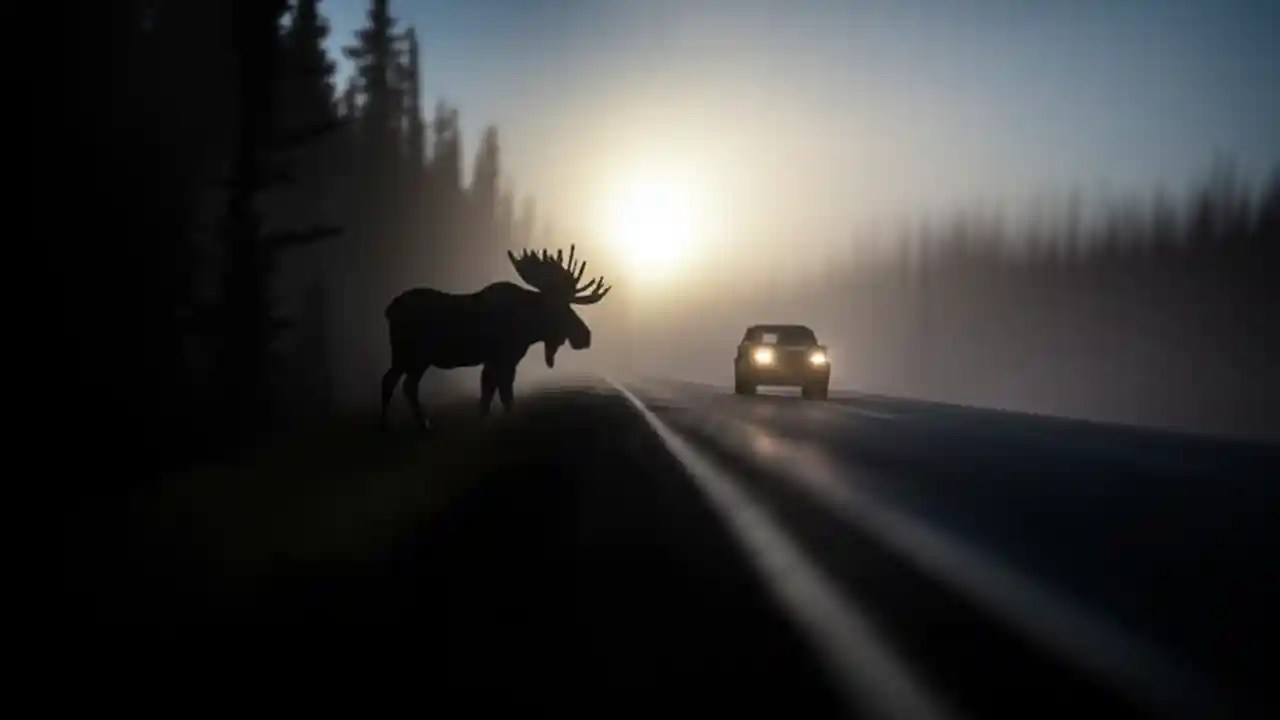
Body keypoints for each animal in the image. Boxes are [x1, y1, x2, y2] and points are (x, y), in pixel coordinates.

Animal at [381, 245, 611, 429]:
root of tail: (390, 309)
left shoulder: (499, 362)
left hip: (404, 356)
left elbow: (491, 395)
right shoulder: (502, 360)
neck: (528, 327)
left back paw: (391, 422)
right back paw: (415, 423)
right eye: (561, 308)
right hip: (416, 355)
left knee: (393, 381)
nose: (586, 336)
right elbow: (501, 396)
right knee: (404, 384)